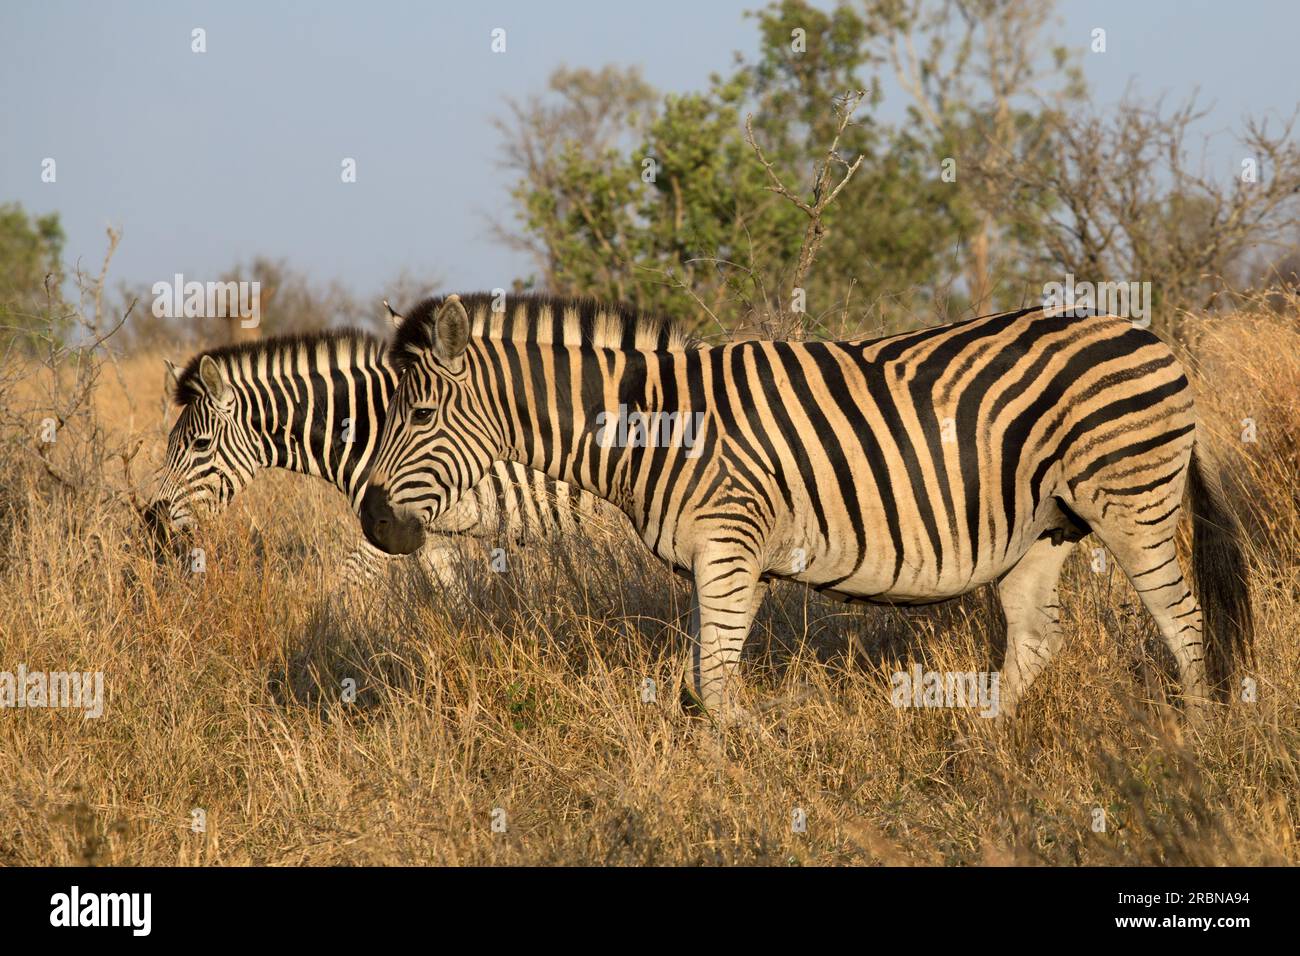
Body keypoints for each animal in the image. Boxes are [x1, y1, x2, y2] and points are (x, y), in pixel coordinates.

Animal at [145, 317, 611, 593]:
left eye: (200, 445)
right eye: (169, 445)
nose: (152, 522)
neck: (372, 429)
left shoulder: (399, 522)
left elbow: (349, 582)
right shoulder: (430, 533)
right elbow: (452, 594)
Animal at [358, 293, 1254, 723]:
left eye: (420, 416)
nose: (373, 522)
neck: (652, 429)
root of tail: (1152, 336)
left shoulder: (727, 546)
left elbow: (714, 688)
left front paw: (759, 762)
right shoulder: (736, 563)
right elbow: (704, 684)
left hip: (1131, 503)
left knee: (1183, 622)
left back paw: (1197, 742)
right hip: (1043, 528)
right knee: (1037, 639)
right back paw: (977, 745)